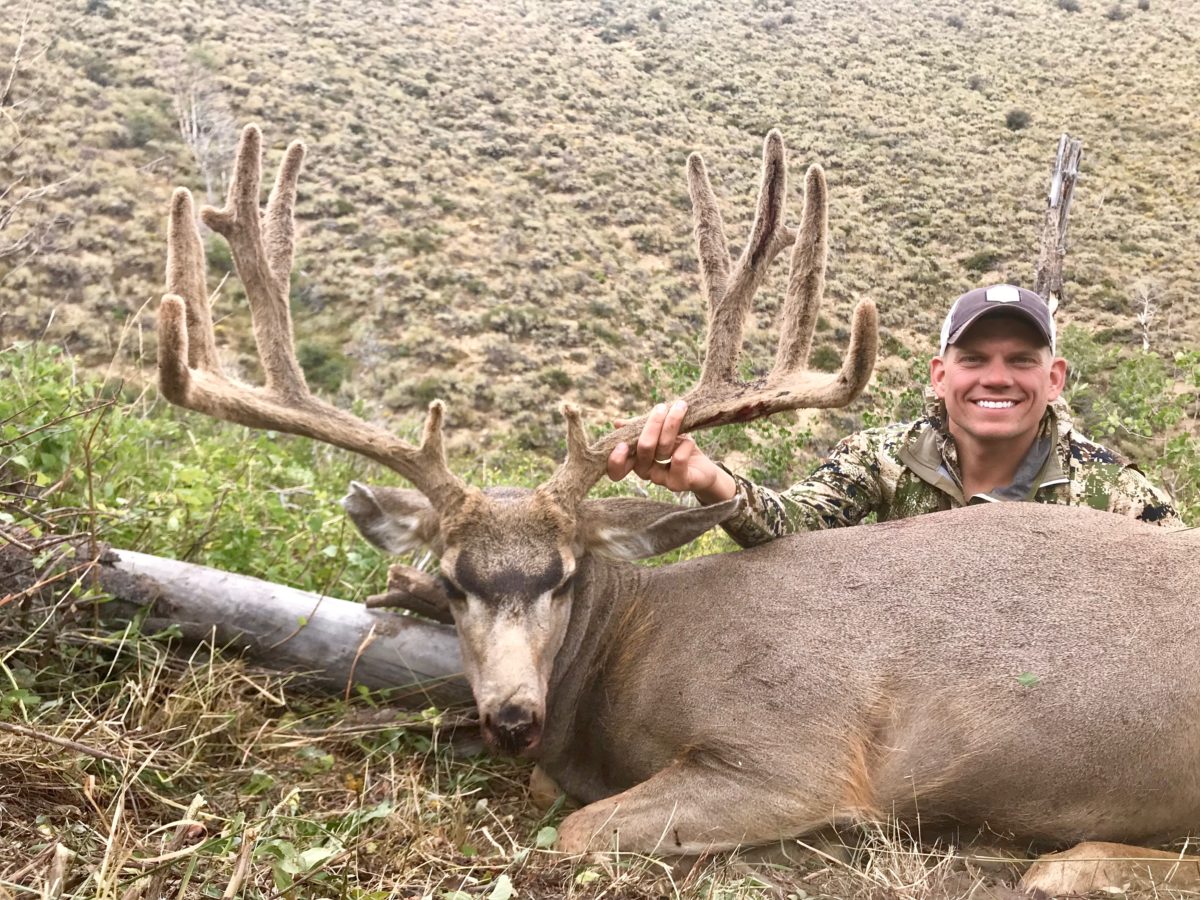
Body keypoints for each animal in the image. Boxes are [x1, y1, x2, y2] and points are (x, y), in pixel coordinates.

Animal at [156, 124, 1200, 894]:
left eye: (563, 574)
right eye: (452, 582)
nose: (512, 716)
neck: (635, 651)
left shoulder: (800, 753)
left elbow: (576, 830)